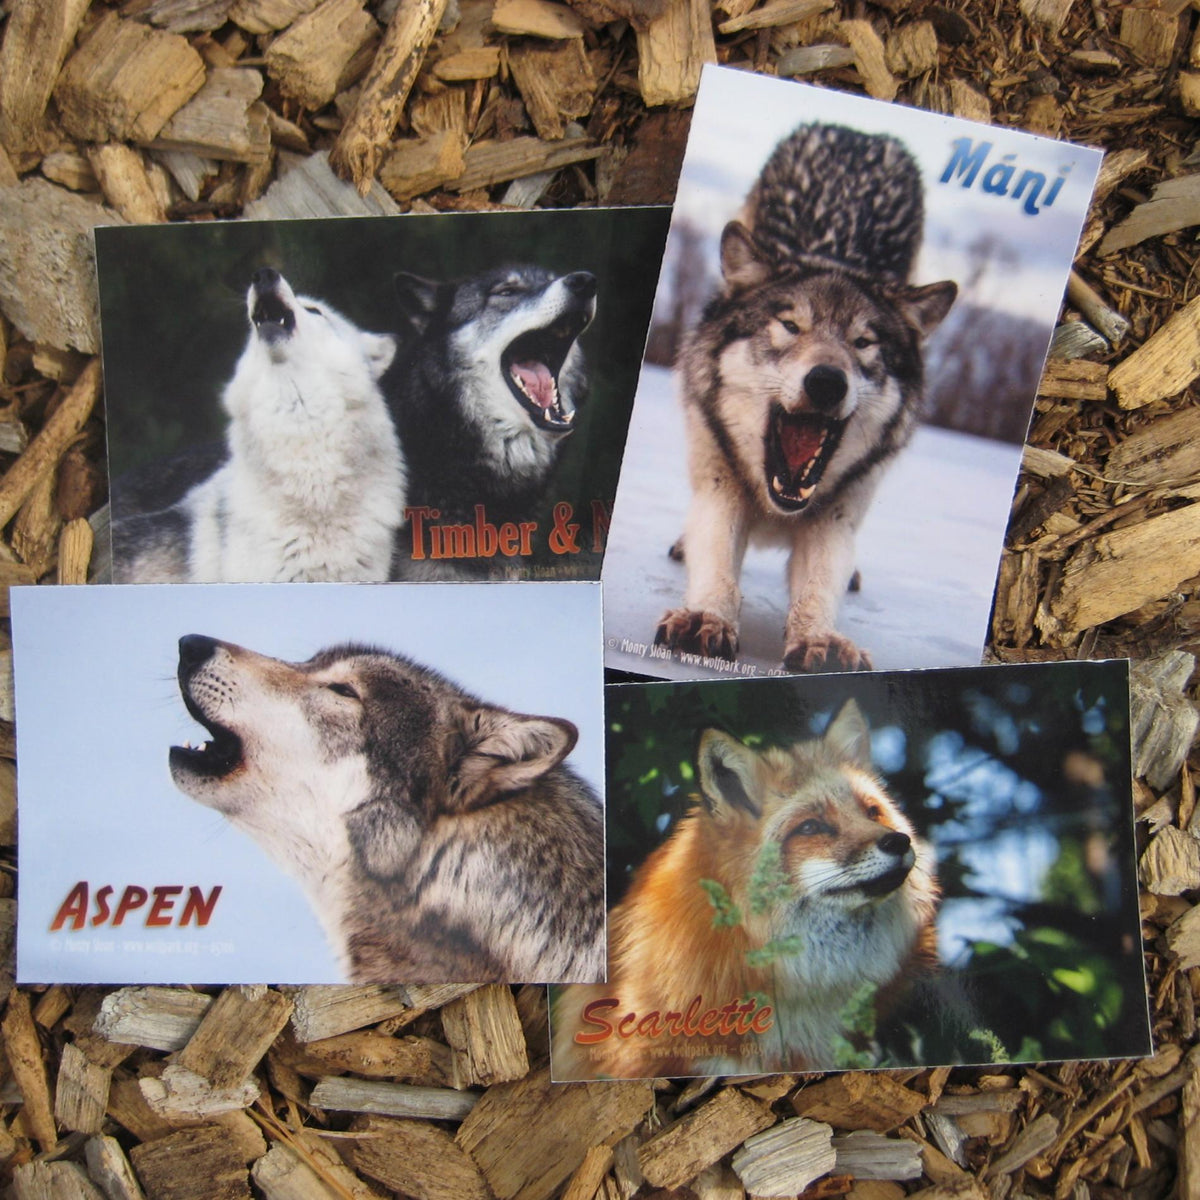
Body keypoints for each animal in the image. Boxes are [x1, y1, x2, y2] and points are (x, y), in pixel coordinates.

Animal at [656, 124, 957, 672]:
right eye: (790, 326)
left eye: (864, 343)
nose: (827, 381)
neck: (780, 509)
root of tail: (859, 132)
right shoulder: (720, 485)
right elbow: (718, 564)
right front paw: (706, 617)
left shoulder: (836, 517)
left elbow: (818, 586)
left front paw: (820, 639)